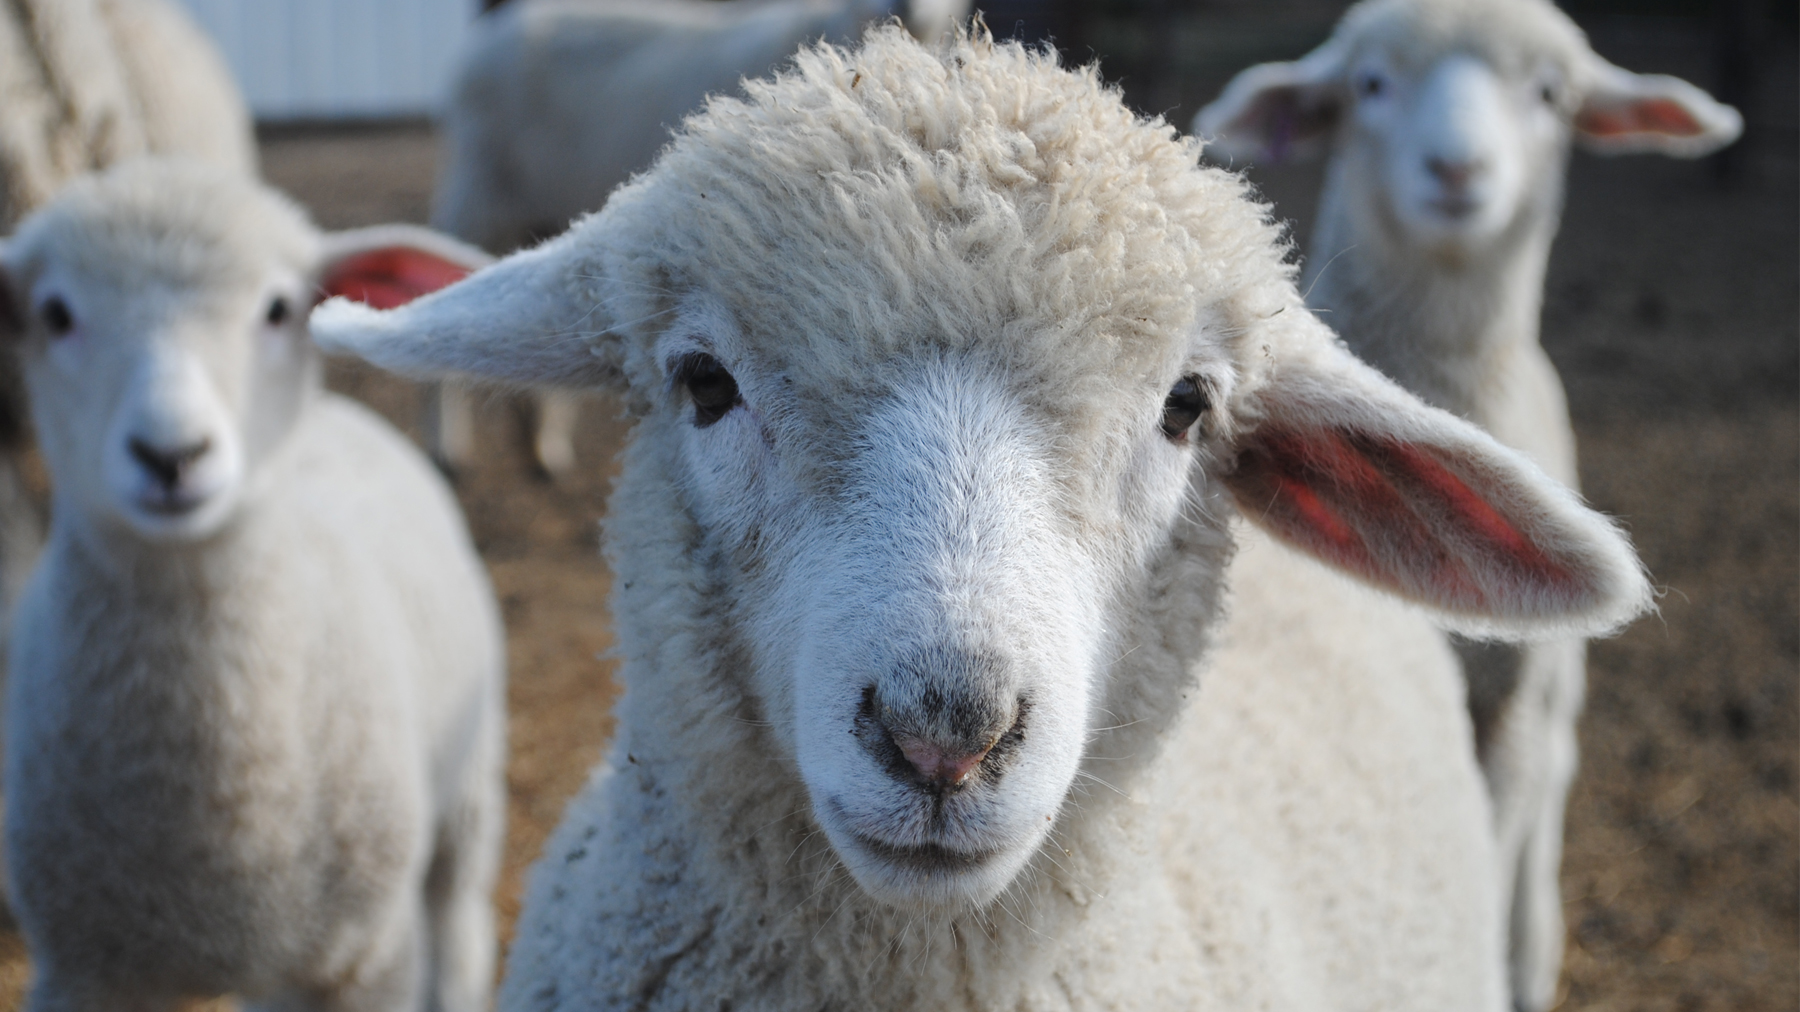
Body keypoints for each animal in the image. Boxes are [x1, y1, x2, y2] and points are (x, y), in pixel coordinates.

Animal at [0, 158, 504, 1011]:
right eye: (55, 314)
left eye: (277, 309)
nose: (172, 455)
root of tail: (339, 410)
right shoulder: (83, 969)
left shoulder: (367, 959)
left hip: (467, 785)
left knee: (460, 922)